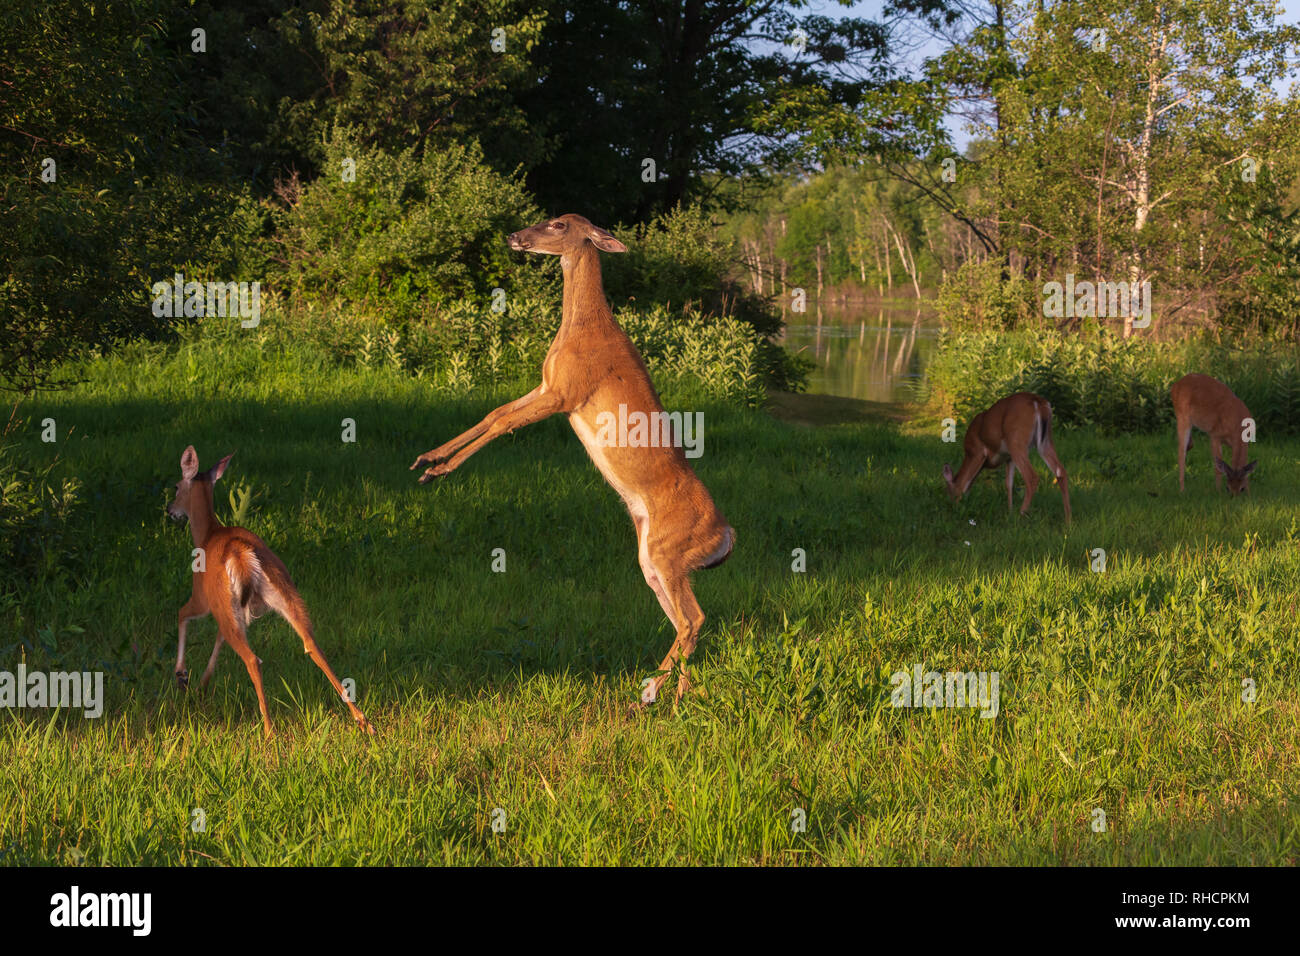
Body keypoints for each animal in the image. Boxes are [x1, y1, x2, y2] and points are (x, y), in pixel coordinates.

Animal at [167, 446, 374, 737]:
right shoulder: (237, 609)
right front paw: (200, 685)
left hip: (222, 598)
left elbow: (181, 614)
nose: (170, 510)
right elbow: (218, 638)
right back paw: (363, 720)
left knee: (253, 659)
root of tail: (240, 552)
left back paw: (268, 730)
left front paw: (183, 677)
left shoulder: (202, 596)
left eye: (175, 487)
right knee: (312, 644)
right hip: (284, 590)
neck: (207, 536)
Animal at [410, 214, 734, 707]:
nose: (514, 237)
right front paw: (429, 460)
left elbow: (506, 424)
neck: (583, 326)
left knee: (693, 619)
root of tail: (727, 536)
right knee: (685, 622)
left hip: (669, 549)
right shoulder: (546, 385)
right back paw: (677, 698)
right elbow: (496, 413)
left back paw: (648, 692)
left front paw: (439, 469)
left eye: (558, 223)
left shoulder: (565, 393)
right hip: (652, 557)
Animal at [942, 392, 1072, 523]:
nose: (952, 506)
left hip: (1016, 441)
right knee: (1061, 471)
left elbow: (969, 480)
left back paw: (1022, 514)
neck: (969, 454)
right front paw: (1009, 513)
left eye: (949, 491)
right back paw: (1068, 520)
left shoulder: (977, 452)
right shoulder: (1009, 458)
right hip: (1045, 441)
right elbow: (1008, 483)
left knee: (1032, 477)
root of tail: (1036, 400)